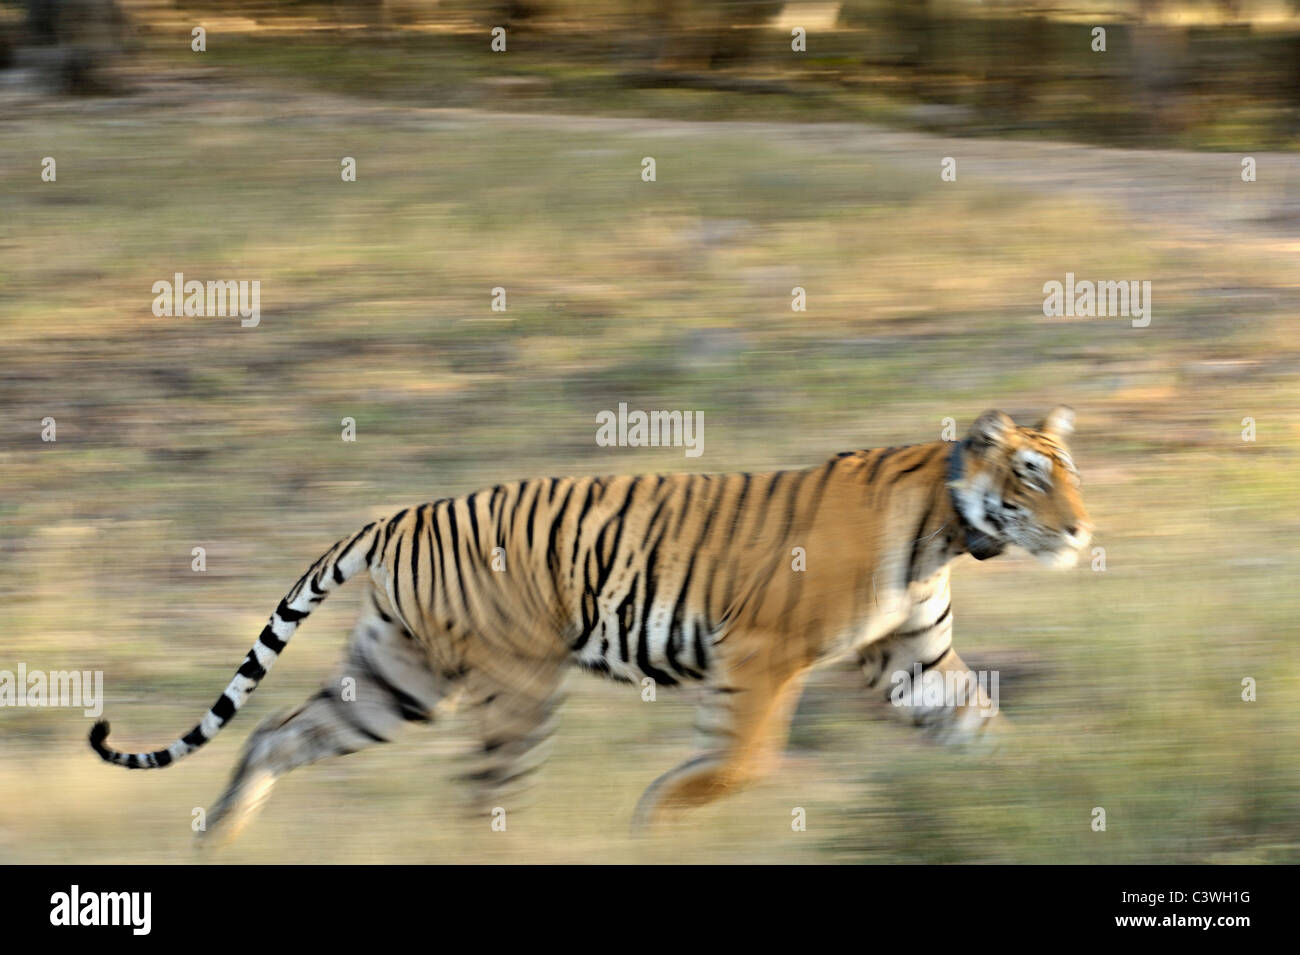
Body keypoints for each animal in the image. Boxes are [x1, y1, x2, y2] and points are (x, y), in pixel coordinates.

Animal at [90, 406, 1091, 841]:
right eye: (1033, 475)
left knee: (275, 734)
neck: (945, 530)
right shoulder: (764, 653)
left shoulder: (913, 657)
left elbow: (982, 726)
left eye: (1068, 470)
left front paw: (1045, 793)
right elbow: (741, 758)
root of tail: (394, 517)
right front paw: (654, 816)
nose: (1083, 529)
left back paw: (219, 836)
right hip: (517, 682)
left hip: (397, 677)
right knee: (479, 799)